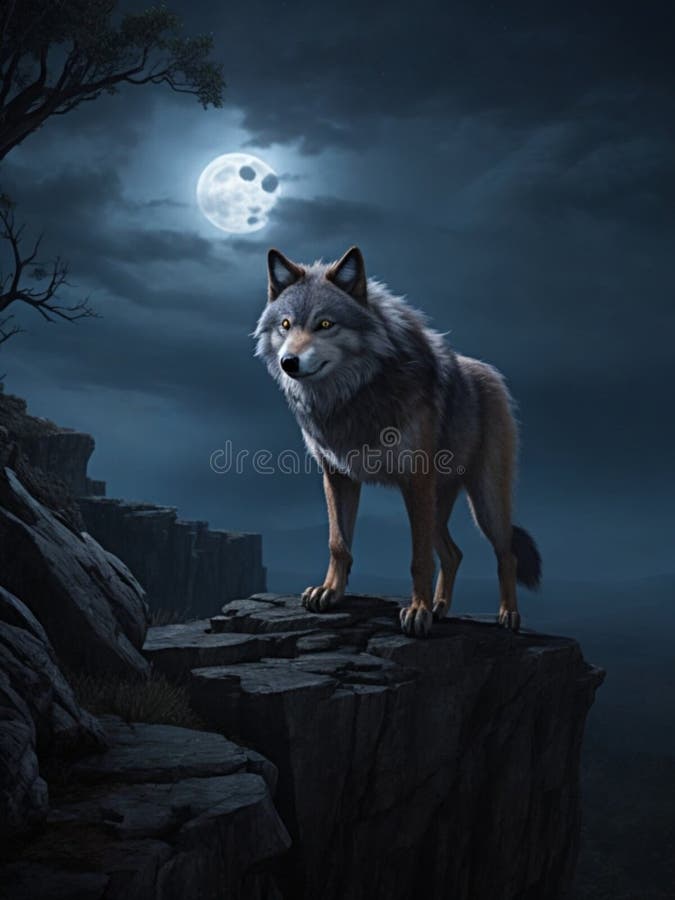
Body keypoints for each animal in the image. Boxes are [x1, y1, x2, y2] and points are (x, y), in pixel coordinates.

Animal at [254, 246, 541, 638]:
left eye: (325, 324)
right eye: (285, 325)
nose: (289, 362)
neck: (353, 396)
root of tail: (489, 371)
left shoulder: (414, 481)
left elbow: (418, 559)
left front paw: (417, 612)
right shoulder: (338, 475)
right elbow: (338, 543)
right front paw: (330, 592)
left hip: (485, 504)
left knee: (505, 554)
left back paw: (507, 615)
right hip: (439, 505)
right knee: (454, 554)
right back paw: (440, 608)